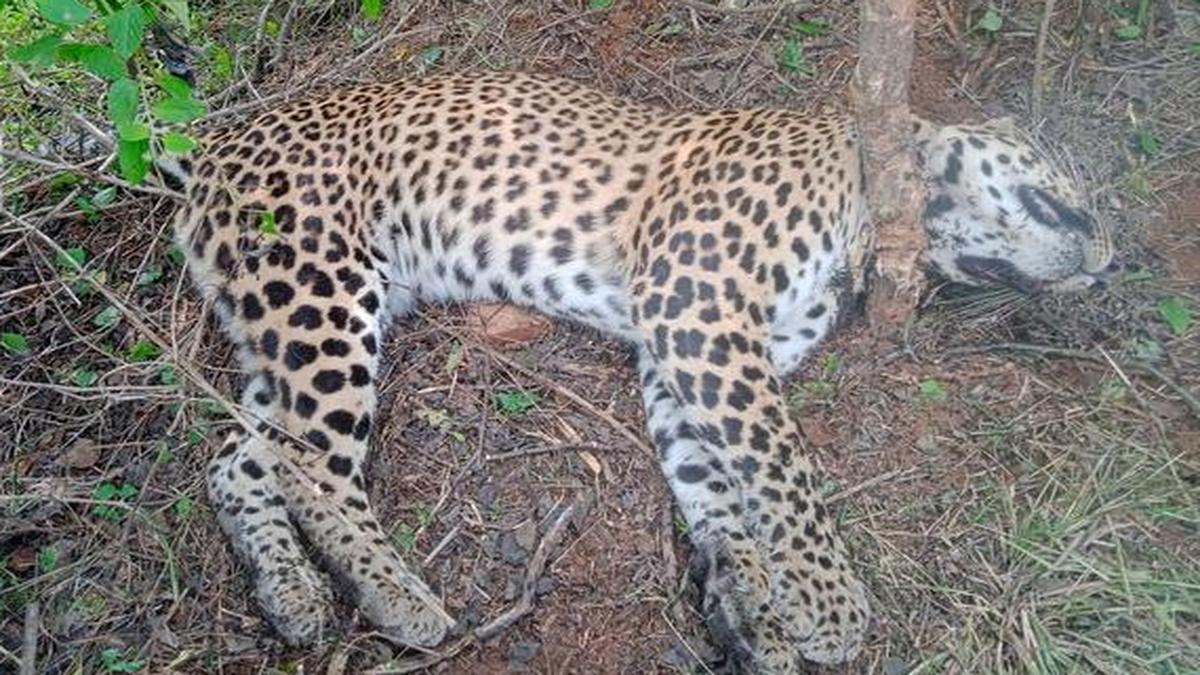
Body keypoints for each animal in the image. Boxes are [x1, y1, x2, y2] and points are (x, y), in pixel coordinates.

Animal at [166, 70, 1115, 673]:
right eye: (1076, 192)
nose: (1108, 266)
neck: (878, 200)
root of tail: (213, 139)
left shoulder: (684, 349)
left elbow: (716, 479)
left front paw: (751, 603)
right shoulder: (699, 304)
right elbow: (783, 461)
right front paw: (829, 601)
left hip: (285, 324)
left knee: (239, 458)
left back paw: (290, 594)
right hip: (321, 296)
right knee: (309, 466)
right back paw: (400, 598)